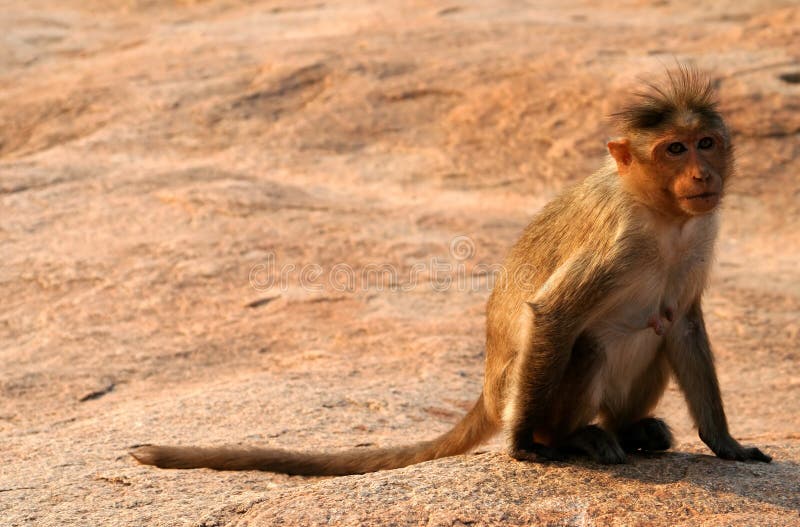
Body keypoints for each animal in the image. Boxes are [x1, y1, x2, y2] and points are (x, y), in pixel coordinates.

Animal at [132, 66, 771, 475]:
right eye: (673, 150)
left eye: (705, 142)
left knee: (657, 327)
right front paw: (524, 446)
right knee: (587, 344)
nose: (702, 176)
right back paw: (568, 437)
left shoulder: (702, 233)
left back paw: (629, 429)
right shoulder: (621, 241)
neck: (666, 220)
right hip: (524, 387)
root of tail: (489, 391)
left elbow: (683, 322)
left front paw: (725, 443)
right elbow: (553, 314)